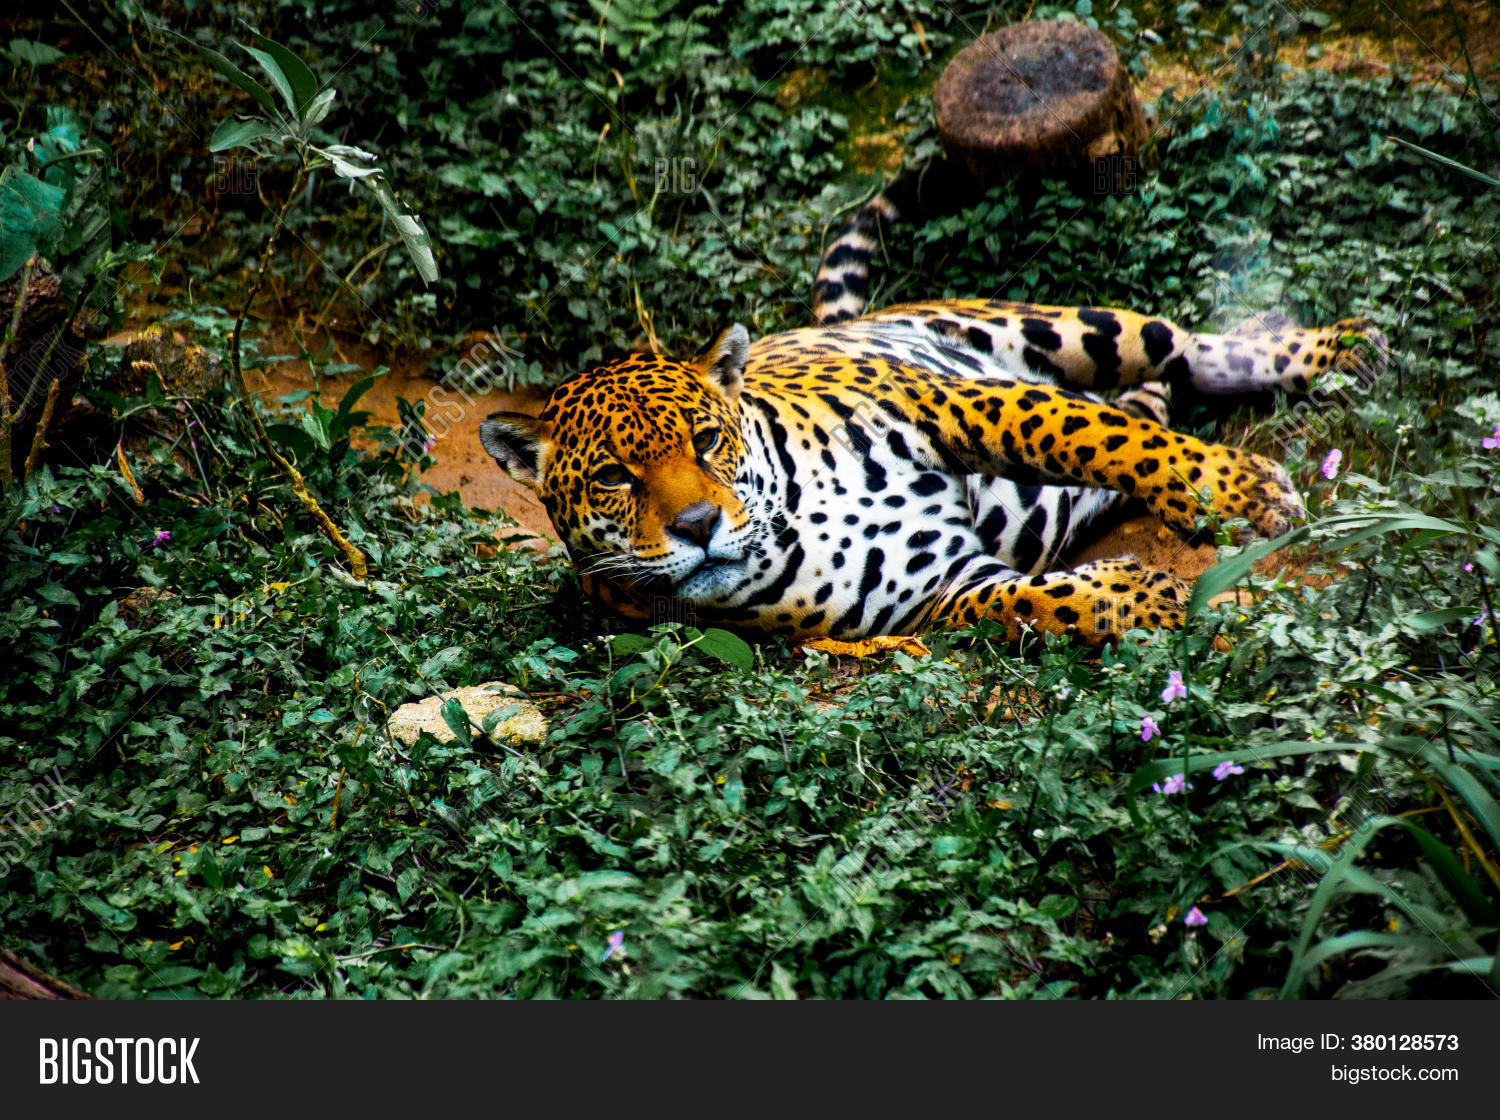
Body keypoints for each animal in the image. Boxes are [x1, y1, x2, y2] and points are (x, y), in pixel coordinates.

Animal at [481, 188, 1385, 647]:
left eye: (706, 441)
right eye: (613, 477)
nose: (698, 526)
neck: (793, 513)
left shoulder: (947, 403)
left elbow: (1105, 442)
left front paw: (1239, 496)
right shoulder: (937, 588)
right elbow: (1039, 605)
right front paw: (1144, 595)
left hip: (1064, 329)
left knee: (1188, 352)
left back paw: (1342, 351)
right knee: (1151, 394)